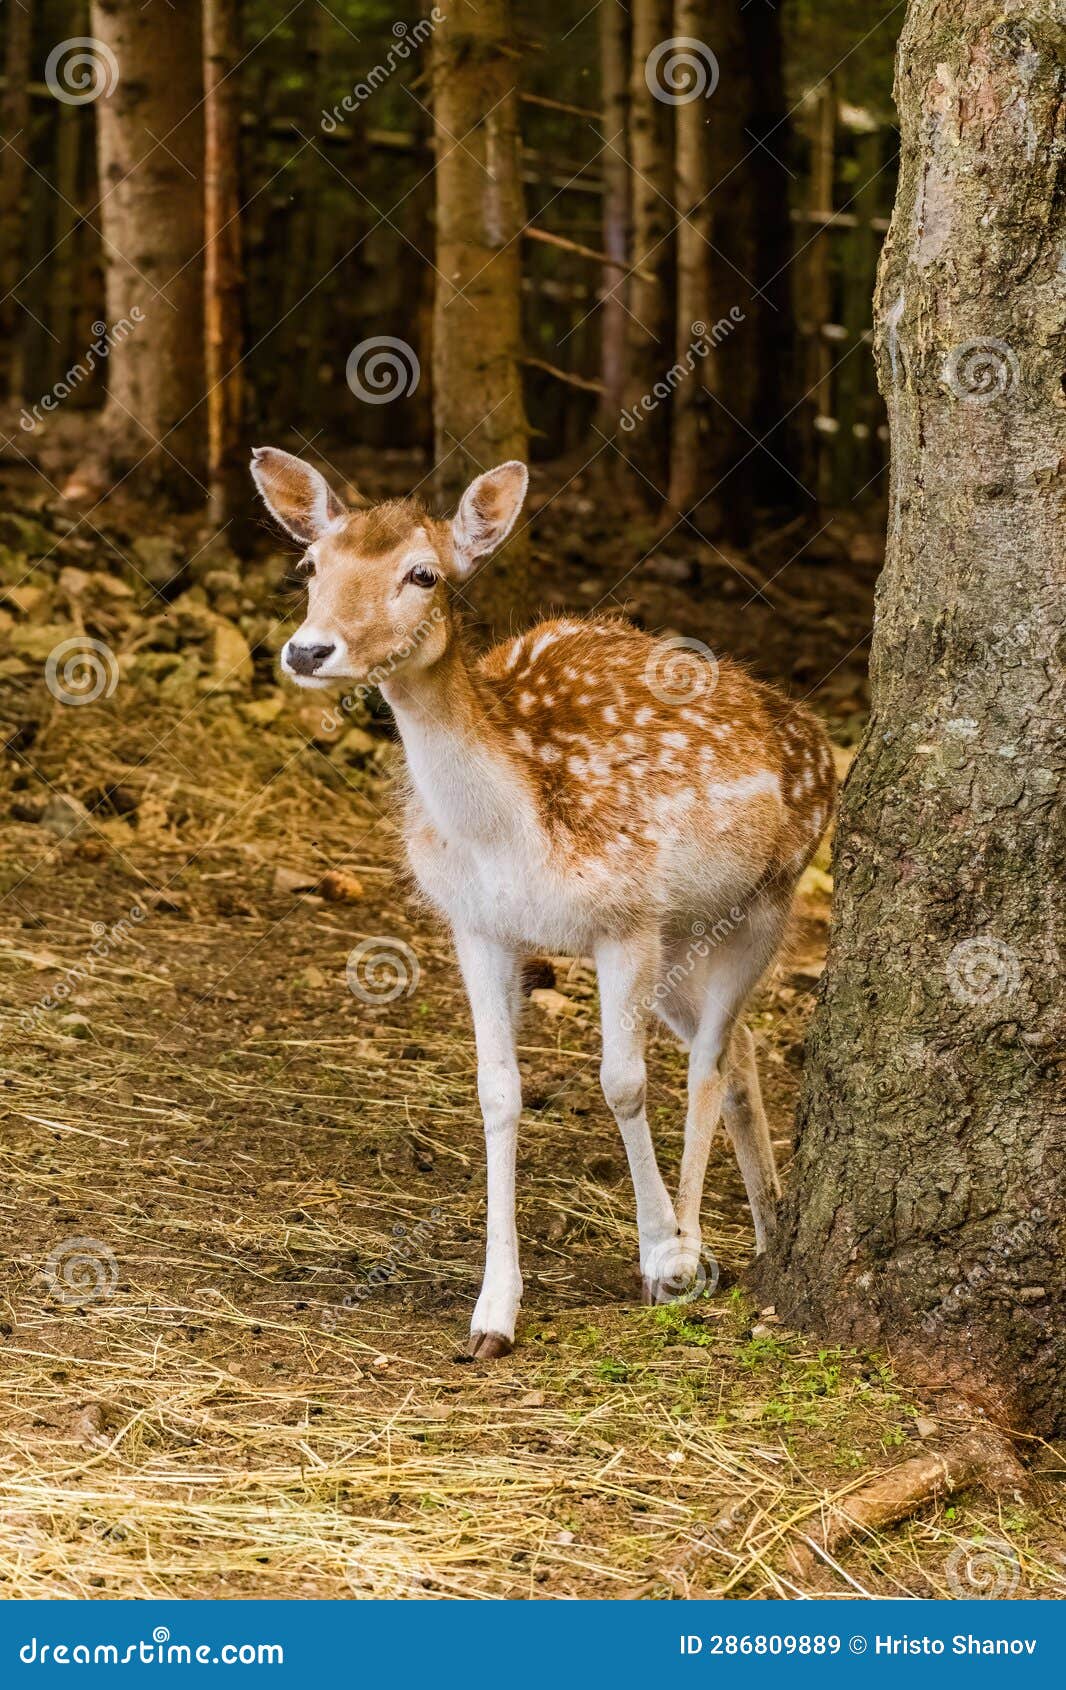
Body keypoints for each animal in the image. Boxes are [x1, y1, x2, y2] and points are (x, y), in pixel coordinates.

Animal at [251, 448, 836, 1359]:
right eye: (311, 565)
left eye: (422, 573)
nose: (310, 650)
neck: (509, 831)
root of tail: (818, 735)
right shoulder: (476, 925)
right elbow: (497, 1090)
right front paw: (492, 1313)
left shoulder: (627, 915)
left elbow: (622, 1083)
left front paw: (661, 1254)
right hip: (684, 944)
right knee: (737, 1050)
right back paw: (772, 1228)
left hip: (767, 901)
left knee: (709, 1058)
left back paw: (694, 1248)